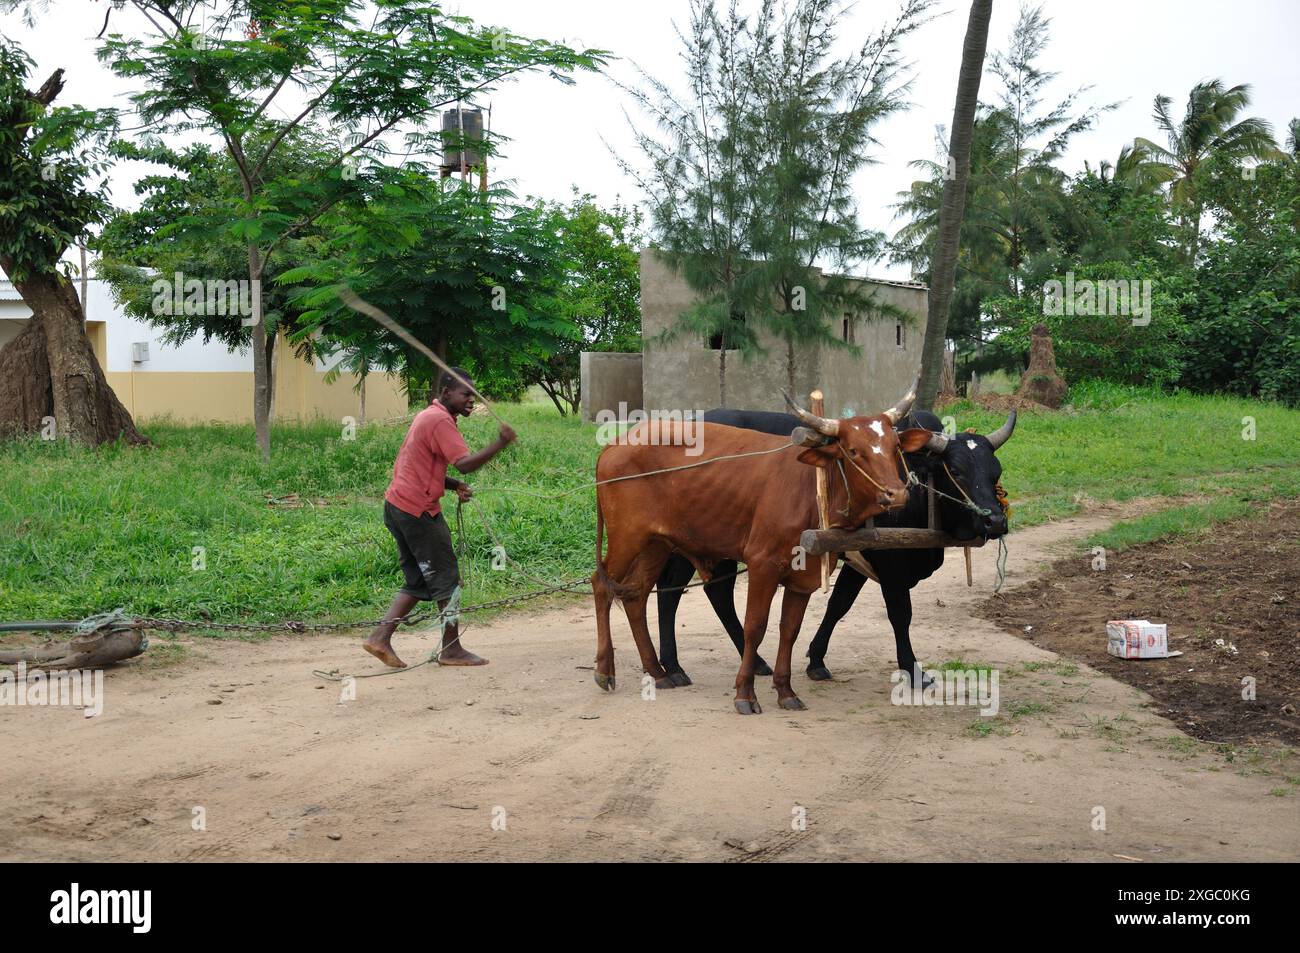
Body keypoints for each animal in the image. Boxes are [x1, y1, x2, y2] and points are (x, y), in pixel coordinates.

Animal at [591, 387, 932, 714]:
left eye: (894, 447)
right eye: (853, 451)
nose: (897, 493)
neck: (813, 487)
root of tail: (616, 445)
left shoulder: (803, 576)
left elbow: (789, 630)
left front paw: (786, 691)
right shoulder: (762, 564)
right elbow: (755, 627)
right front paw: (744, 693)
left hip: (656, 544)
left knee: (635, 595)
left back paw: (658, 672)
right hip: (627, 537)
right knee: (602, 585)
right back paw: (606, 670)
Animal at [654, 408, 1017, 687]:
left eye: (996, 470)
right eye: (955, 470)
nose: (996, 521)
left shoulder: (858, 555)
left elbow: (839, 605)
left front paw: (816, 659)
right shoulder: (891, 566)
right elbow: (900, 616)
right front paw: (913, 671)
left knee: (712, 592)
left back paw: (751, 661)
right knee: (673, 593)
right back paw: (673, 667)